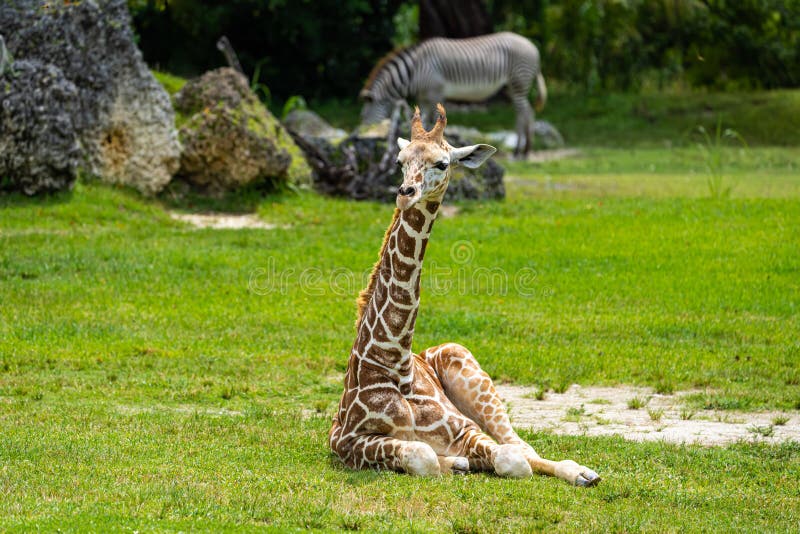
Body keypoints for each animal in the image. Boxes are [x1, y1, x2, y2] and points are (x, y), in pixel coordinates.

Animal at [328, 104, 600, 486]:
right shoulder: (344, 439)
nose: (405, 191)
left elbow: (513, 460)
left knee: (522, 446)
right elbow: (424, 455)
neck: (393, 360)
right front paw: (454, 464)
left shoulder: (465, 429)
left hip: (470, 368)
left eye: (443, 163)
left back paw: (583, 473)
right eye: (399, 160)